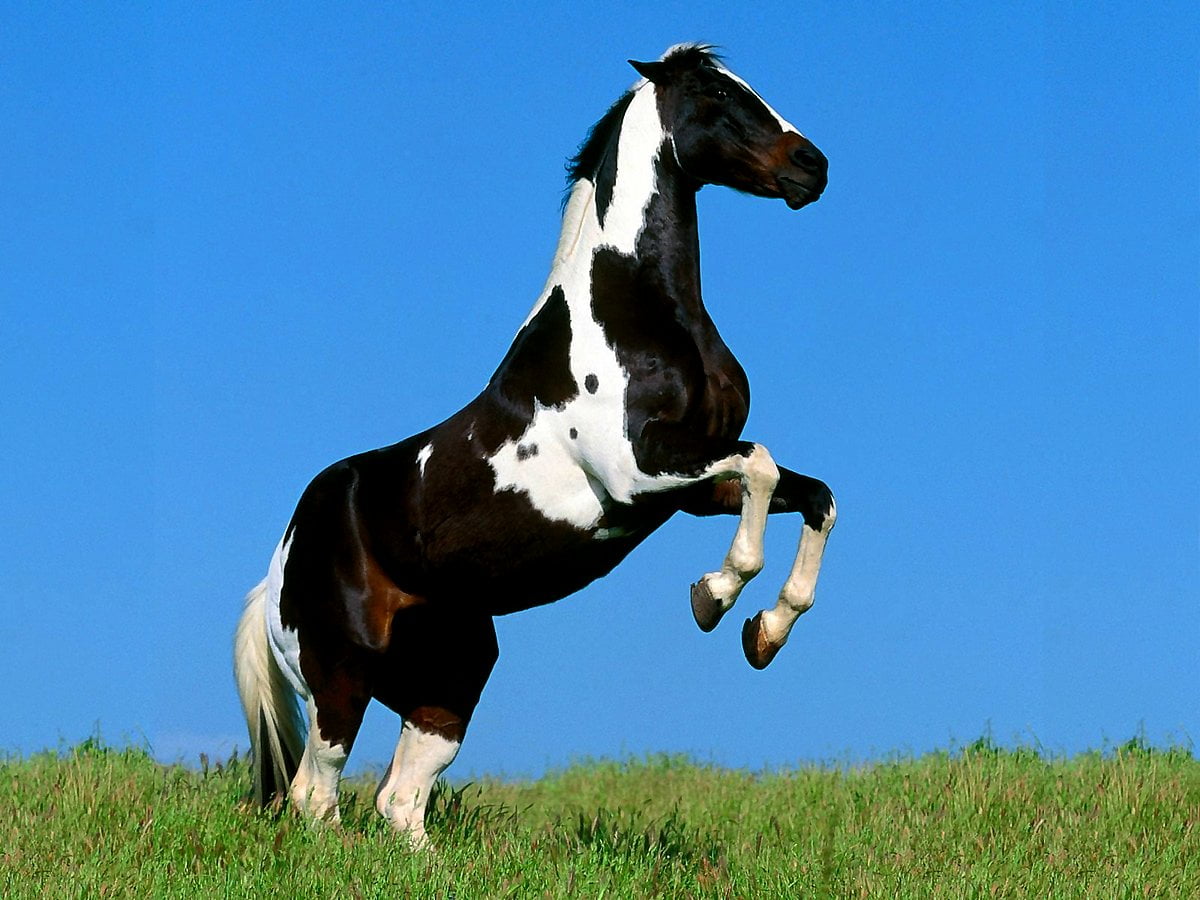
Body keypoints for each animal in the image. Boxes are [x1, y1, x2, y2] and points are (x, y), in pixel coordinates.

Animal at [234, 43, 835, 847]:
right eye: (714, 94)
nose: (813, 166)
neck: (633, 315)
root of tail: (276, 569)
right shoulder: (638, 472)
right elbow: (763, 467)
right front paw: (714, 597)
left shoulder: (697, 485)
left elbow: (813, 496)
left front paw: (764, 633)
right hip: (341, 677)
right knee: (316, 796)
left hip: (452, 678)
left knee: (400, 801)